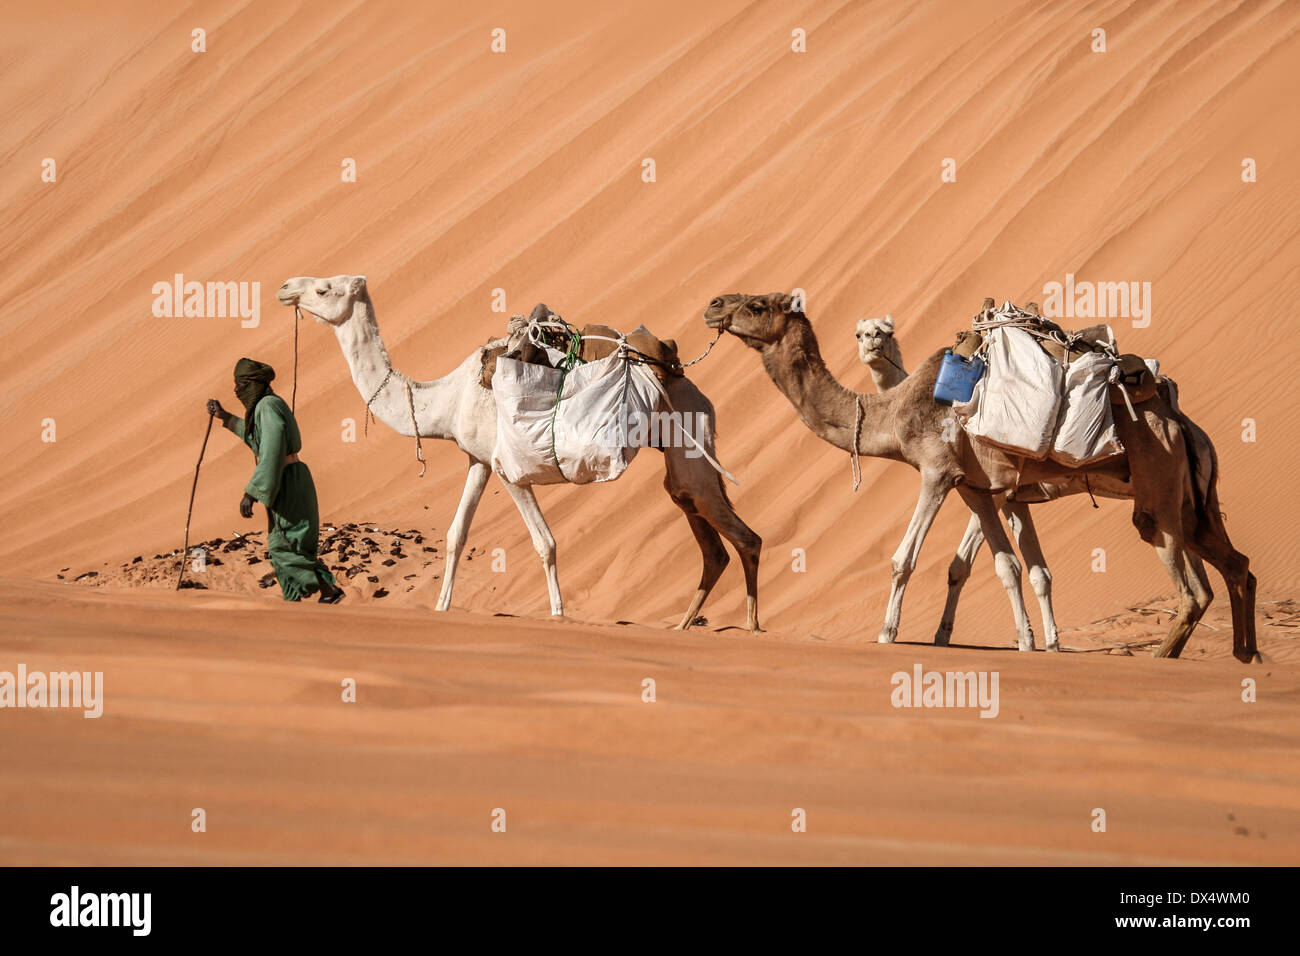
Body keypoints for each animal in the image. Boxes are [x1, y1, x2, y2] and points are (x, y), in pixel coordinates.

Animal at [276, 275, 762, 631]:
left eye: (324, 288)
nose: (285, 288)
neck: (448, 398)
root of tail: (681, 374)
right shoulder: (478, 461)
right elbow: (456, 535)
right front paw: (441, 607)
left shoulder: (509, 469)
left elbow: (545, 542)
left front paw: (559, 613)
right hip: (683, 461)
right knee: (709, 539)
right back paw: (685, 626)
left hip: (689, 447)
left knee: (742, 536)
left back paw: (752, 627)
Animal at [705, 292, 1258, 662]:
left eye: (756, 305)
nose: (713, 305)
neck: (893, 409)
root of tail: (1181, 422)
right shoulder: (980, 488)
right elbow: (1012, 567)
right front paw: (1032, 642)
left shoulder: (937, 473)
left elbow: (905, 560)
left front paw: (887, 633)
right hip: (1191, 502)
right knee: (1236, 567)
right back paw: (1244, 657)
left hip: (1158, 494)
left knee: (1192, 589)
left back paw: (1168, 660)